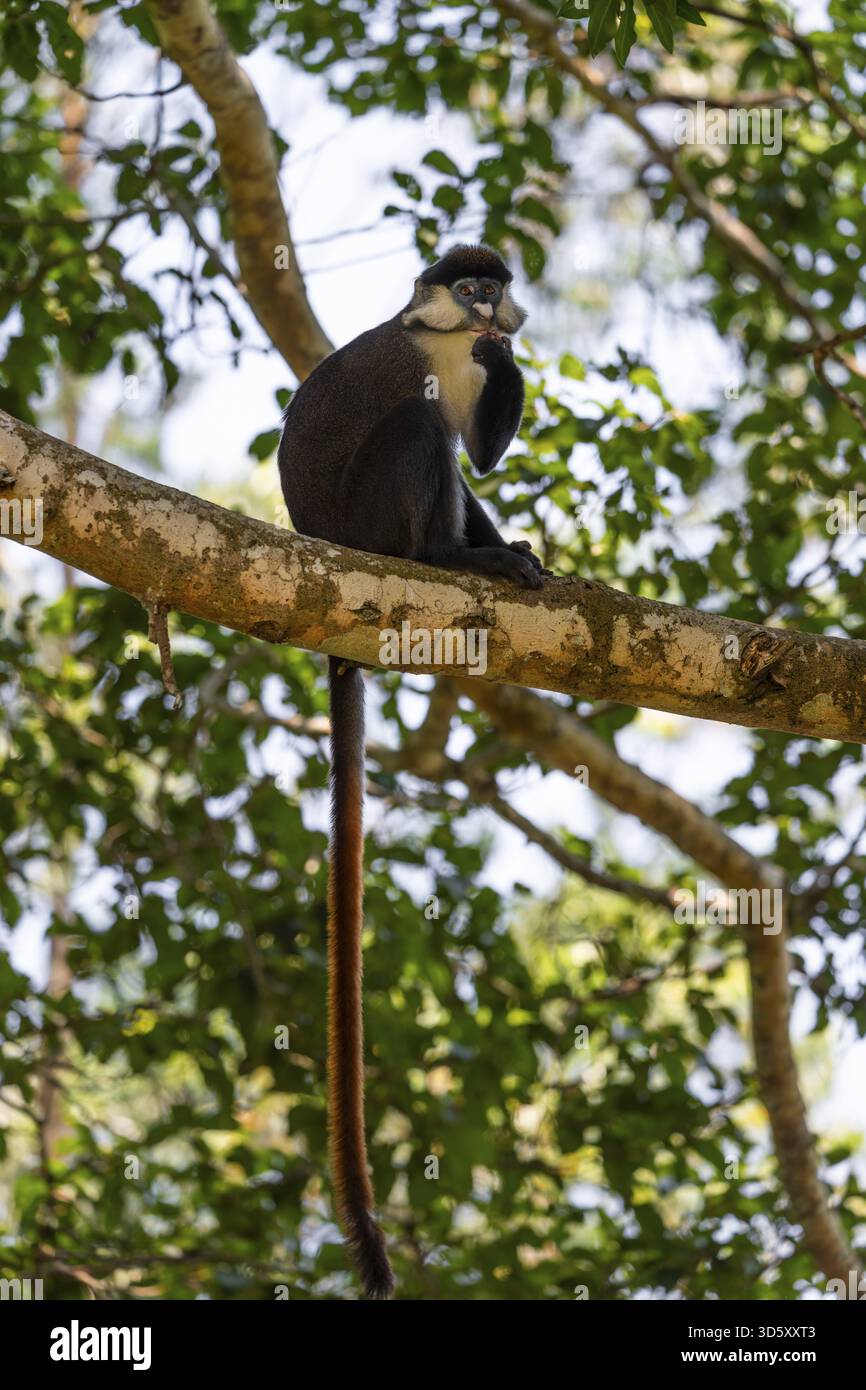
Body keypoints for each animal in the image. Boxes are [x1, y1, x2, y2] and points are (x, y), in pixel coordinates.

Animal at [278, 245, 546, 1299]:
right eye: (466, 288)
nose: (490, 310)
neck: (445, 340)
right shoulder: (417, 358)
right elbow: (435, 426)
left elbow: (486, 457)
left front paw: (507, 361)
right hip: (368, 521)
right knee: (421, 433)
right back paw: (446, 555)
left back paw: (494, 554)